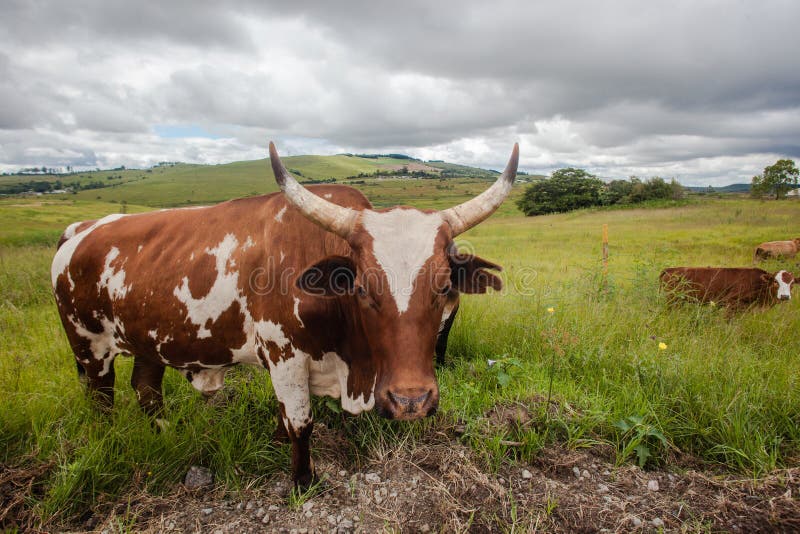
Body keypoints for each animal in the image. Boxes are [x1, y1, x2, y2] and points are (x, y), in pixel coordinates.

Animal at [52, 142, 518, 488]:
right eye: (363, 289)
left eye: (444, 286)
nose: (411, 402)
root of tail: (80, 229)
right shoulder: (284, 355)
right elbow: (300, 421)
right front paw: (301, 480)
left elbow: (285, 415)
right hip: (89, 346)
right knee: (101, 400)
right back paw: (110, 439)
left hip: (150, 339)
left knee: (146, 389)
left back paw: (164, 433)